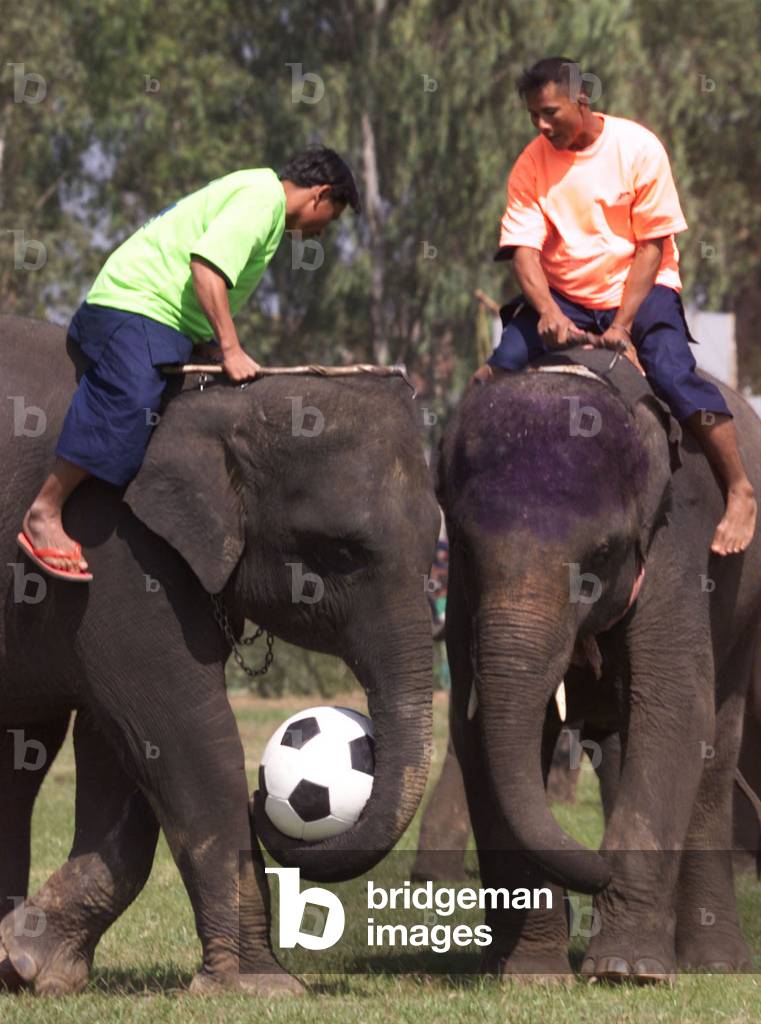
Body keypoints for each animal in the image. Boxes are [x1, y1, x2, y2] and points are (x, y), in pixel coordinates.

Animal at [0, 314, 440, 996]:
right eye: (342, 552)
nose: (268, 800)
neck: (220, 402)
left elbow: (122, 753)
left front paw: (31, 965)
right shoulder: (113, 549)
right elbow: (184, 738)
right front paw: (264, 989)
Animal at [436, 350, 761, 981]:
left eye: (603, 555)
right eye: (461, 545)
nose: (596, 855)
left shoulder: (677, 541)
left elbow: (675, 708)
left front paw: (625, 970)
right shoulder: (461, 594)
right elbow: (477, 732)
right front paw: (531, 975)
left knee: (716, 749)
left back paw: (715, 963)